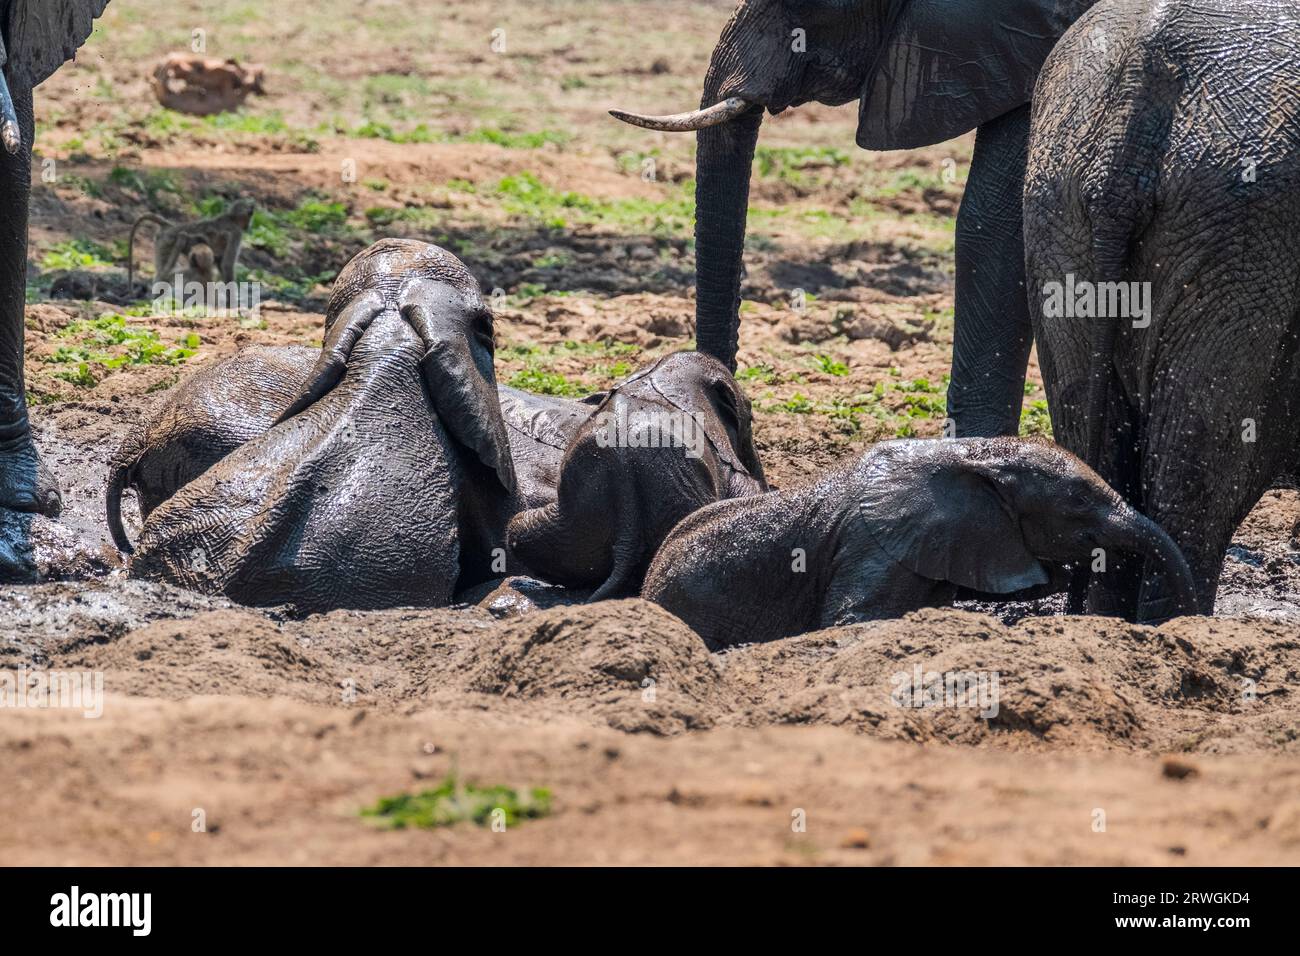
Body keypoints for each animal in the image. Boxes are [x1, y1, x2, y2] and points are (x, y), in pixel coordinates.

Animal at [1022, 0, 1300, 619]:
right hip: (1241, 231)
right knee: (1197, 466)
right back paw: (1182, 627)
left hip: (1054, 203)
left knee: (1099, 451)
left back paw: (1109, 627)